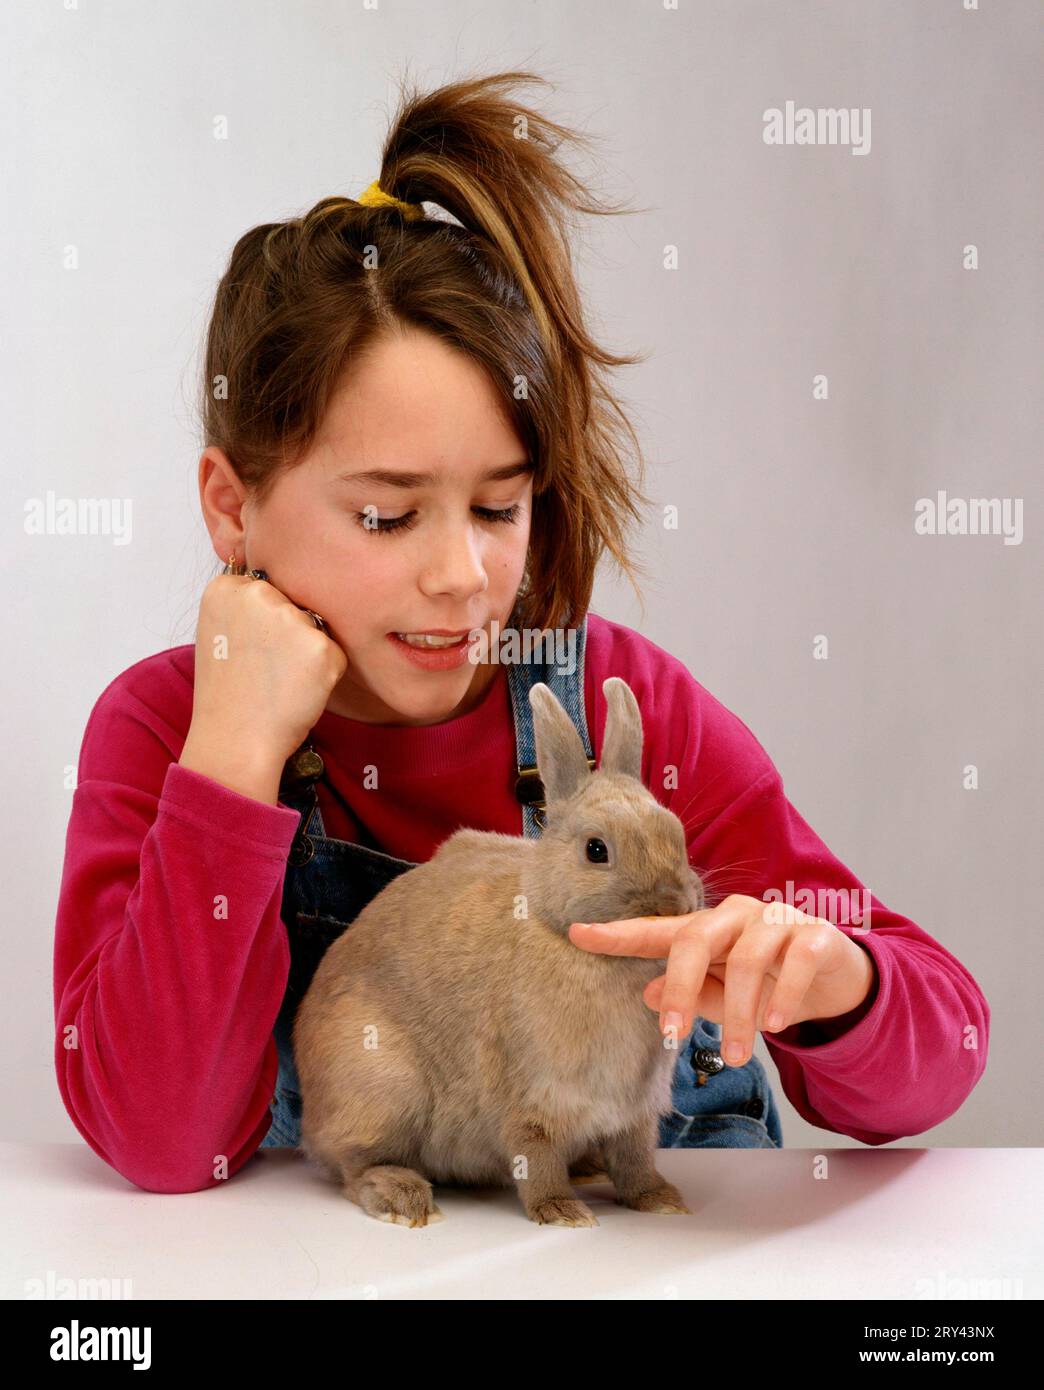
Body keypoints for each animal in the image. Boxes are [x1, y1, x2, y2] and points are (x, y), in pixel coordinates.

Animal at [292, 675, 706, 1227]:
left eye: (676, 835)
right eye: (596, 850)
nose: (672, 907)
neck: (564, 935)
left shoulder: (634, 1110)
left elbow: (636, 1158)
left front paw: (661, 1201)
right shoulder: (529, 1101)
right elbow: (537, 1158)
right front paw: (562, 1213)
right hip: (382, 1086)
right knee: (353, 1165)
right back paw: (403, 1199)